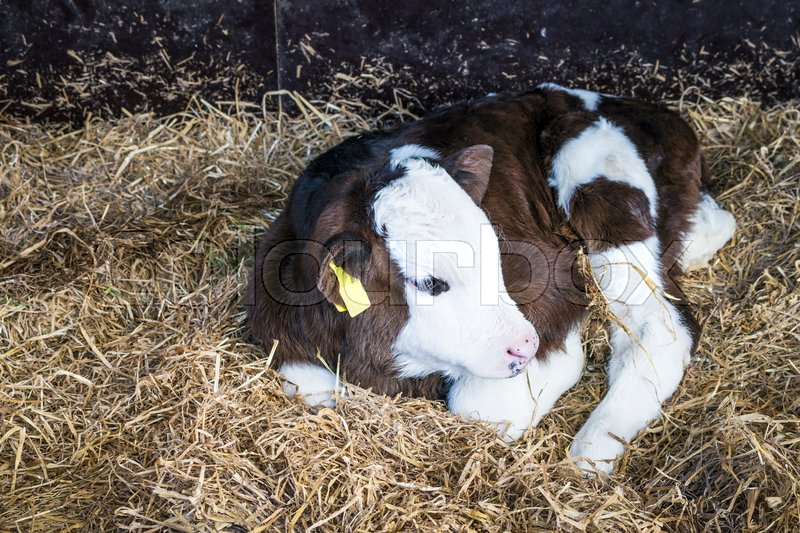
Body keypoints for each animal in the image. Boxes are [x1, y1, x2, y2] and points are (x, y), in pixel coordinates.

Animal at [246, 84, 736, 474]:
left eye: (495, 252)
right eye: (431, 283)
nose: (525, 344)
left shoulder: (550, 284)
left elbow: (481, 405)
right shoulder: (278, 321)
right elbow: (310, 387)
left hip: (600, 180)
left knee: (659, 326)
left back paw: (592, 450)